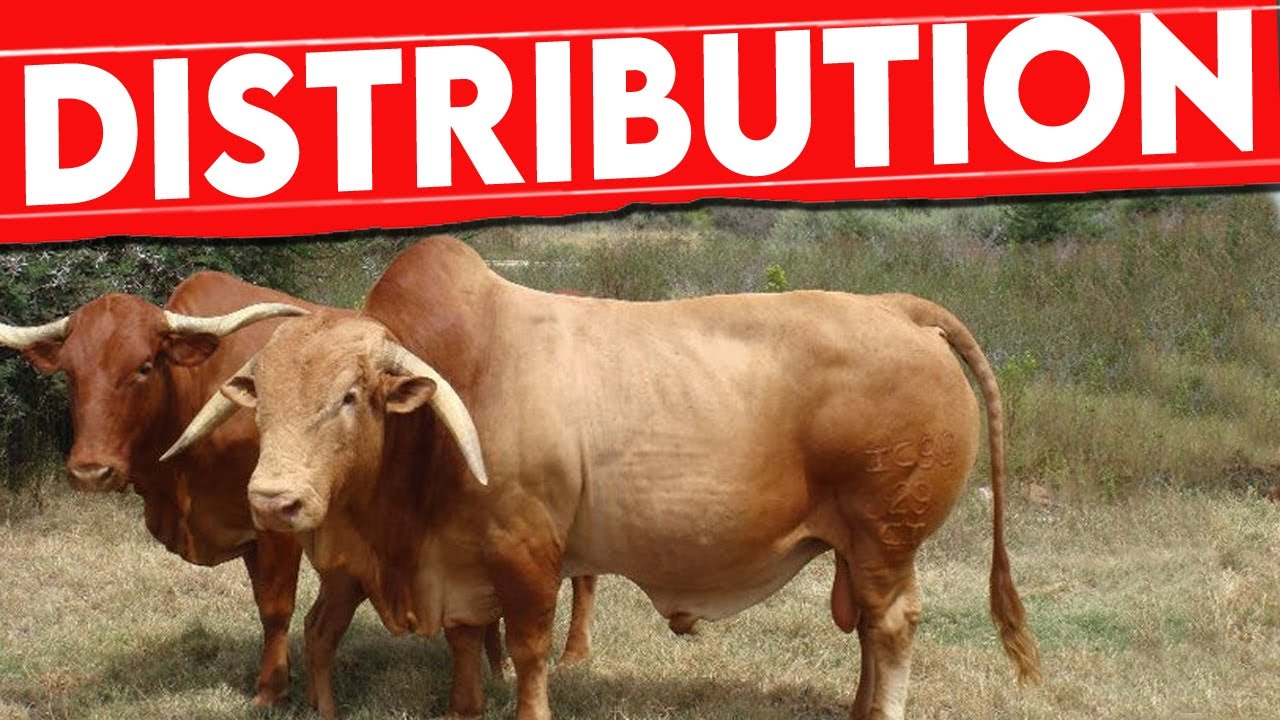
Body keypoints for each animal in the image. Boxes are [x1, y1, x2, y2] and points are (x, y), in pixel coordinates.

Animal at [167, 235, 1041, 720]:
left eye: (349, 396)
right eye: (258, 390)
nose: (273, 500)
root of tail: (897, 308)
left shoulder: (526, 556)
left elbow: (527, 652)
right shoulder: (460, 563)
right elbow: (464, 649)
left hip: (887, 539)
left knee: (890, 629)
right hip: (862, 550)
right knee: (866, 631)